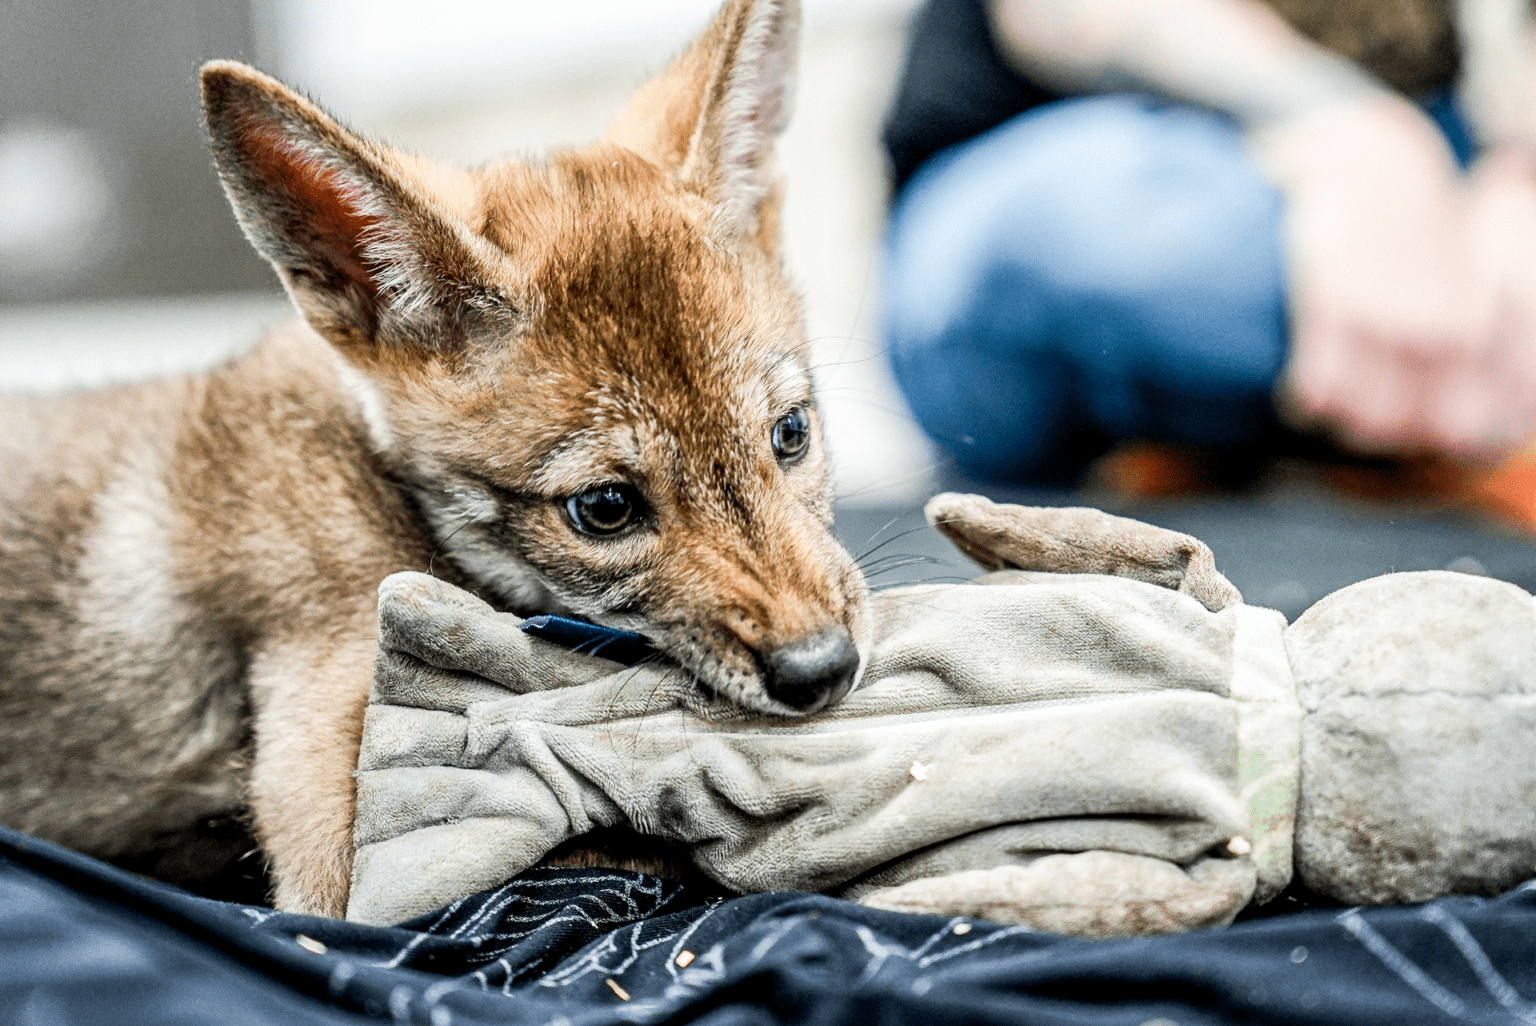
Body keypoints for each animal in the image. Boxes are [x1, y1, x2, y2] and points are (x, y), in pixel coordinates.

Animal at [0, 0, 870, 917]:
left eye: (791, 433)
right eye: (604, 508)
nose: (821, 670)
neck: (379, 478)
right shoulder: (344, 843)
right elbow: (635, 831)